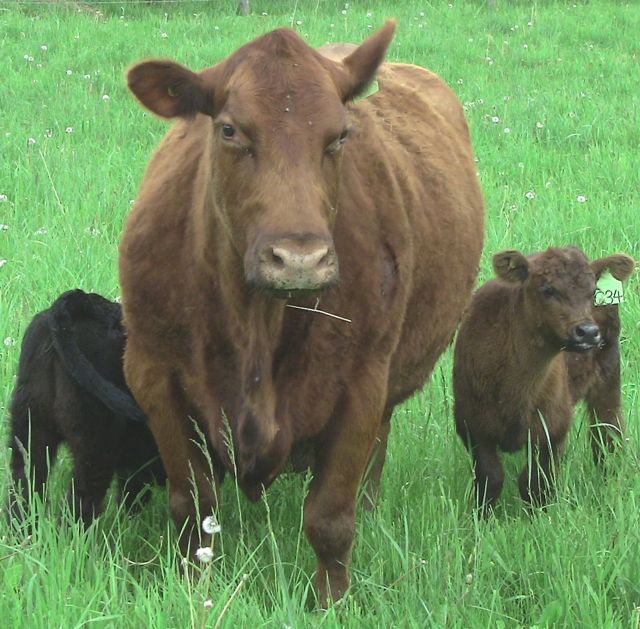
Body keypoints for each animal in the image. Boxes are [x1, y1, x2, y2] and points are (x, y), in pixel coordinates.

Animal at [119, 21, 485, 604]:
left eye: (340, 137)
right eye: (229, 130)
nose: (299, 259)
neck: (254, 324)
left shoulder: (361, 382)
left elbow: (330, 518)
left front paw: (330, 603)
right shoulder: (152, 371)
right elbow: (193, 505)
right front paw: (195, 589)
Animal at [453, 247, 634, 511]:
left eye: (593, 292)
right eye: (548, 289)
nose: (588, 332)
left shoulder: (553, 427)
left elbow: (535, 482)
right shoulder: (473, 425)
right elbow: (490, 478)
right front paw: (481, 517)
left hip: (608, 379)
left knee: (607, 432)